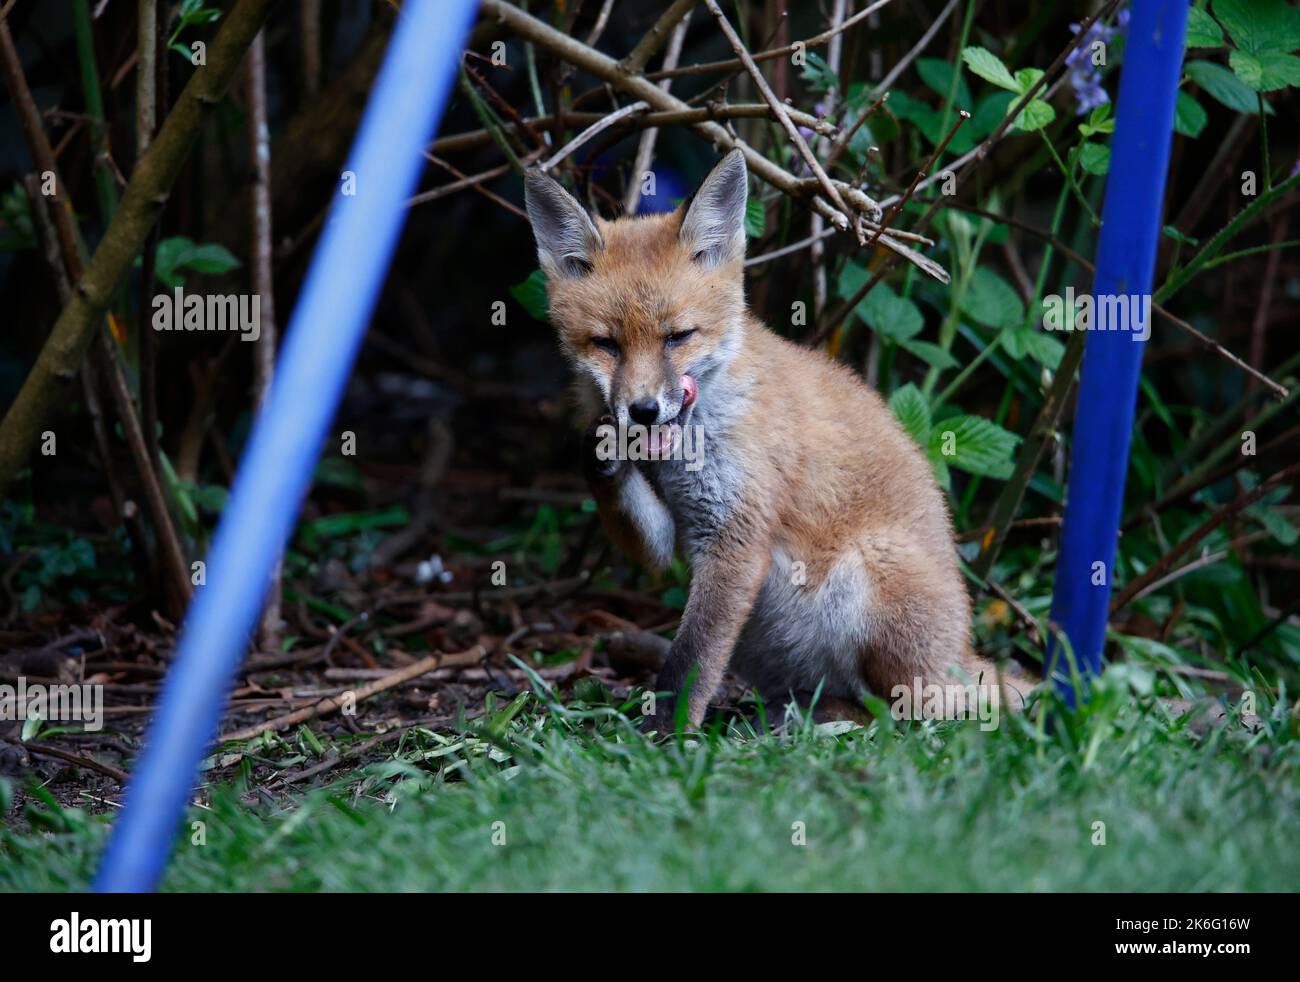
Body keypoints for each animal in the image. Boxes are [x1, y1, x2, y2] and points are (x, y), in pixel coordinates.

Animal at [523, 149, 1030, 730]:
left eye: (679, 337)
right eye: (606, 344)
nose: (644, 412)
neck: (689, 449)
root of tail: (961, 657)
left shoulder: (737, 538)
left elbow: (691, 661)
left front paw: (665, 736)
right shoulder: (675, 535)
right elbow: (647, 539)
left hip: (868, 577)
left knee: (905, 711)